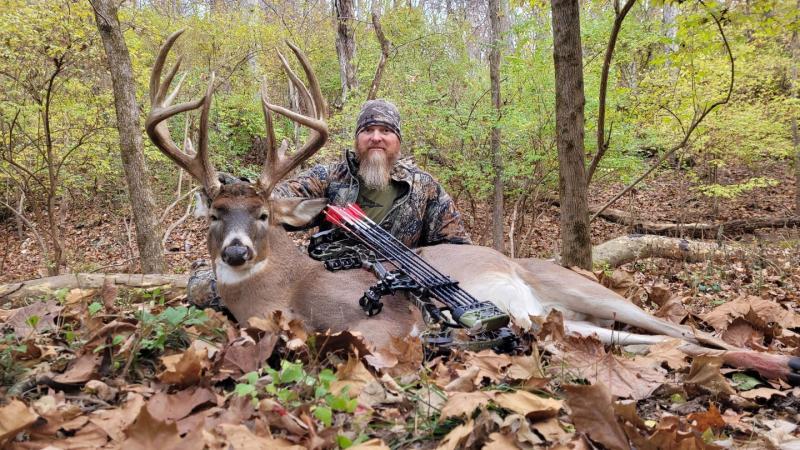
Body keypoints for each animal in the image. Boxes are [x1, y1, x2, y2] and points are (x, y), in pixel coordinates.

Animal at [146, 30, 800, 386]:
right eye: (213, 212)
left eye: (261, 215)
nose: (235, 251)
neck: (279, 294)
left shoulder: (380, 322)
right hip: (553, 316)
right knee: (656, 342)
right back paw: (772, 365)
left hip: (581, 288)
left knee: (677, 327)